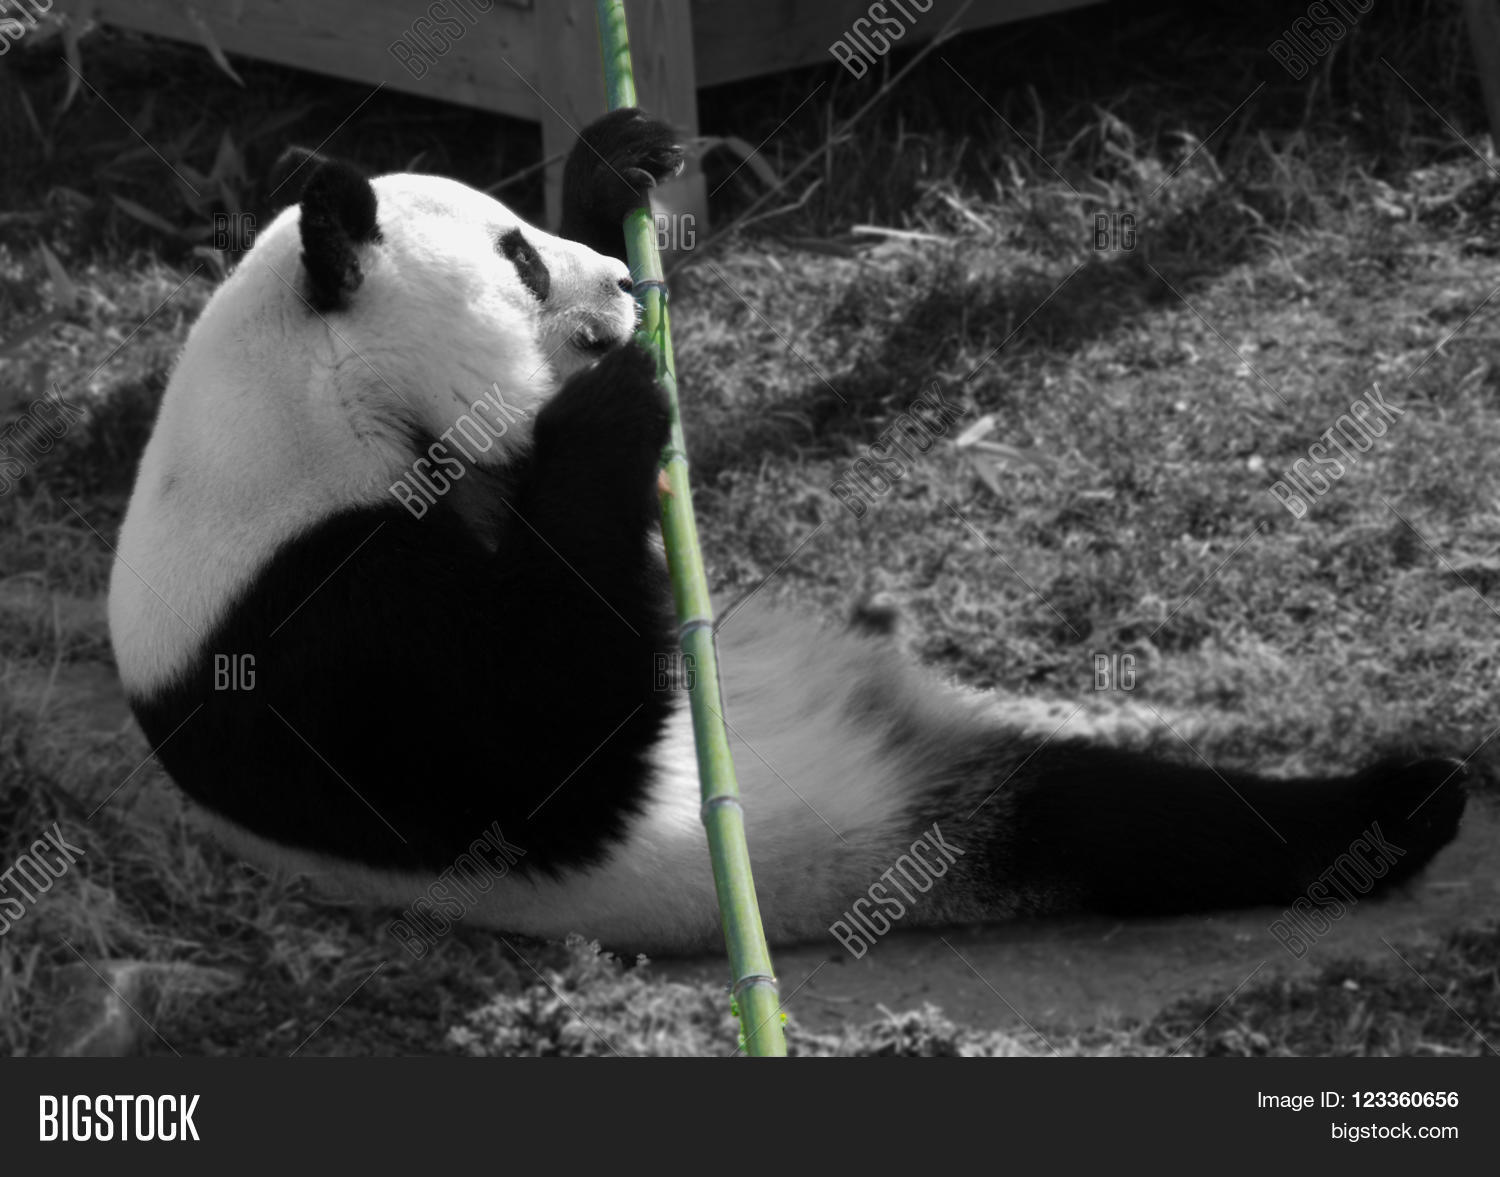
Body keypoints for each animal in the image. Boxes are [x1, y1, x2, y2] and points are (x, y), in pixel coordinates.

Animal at [107, 109, 1468, 955]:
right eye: (521, 266)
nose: (620, 285)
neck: (314, 411)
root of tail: (895, 731)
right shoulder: (307, 627)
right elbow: (544, 751)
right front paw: (618, 405)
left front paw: (620, 163)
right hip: (864, 832)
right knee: (1127, 826)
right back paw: (1396, 816)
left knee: (1118, 801)